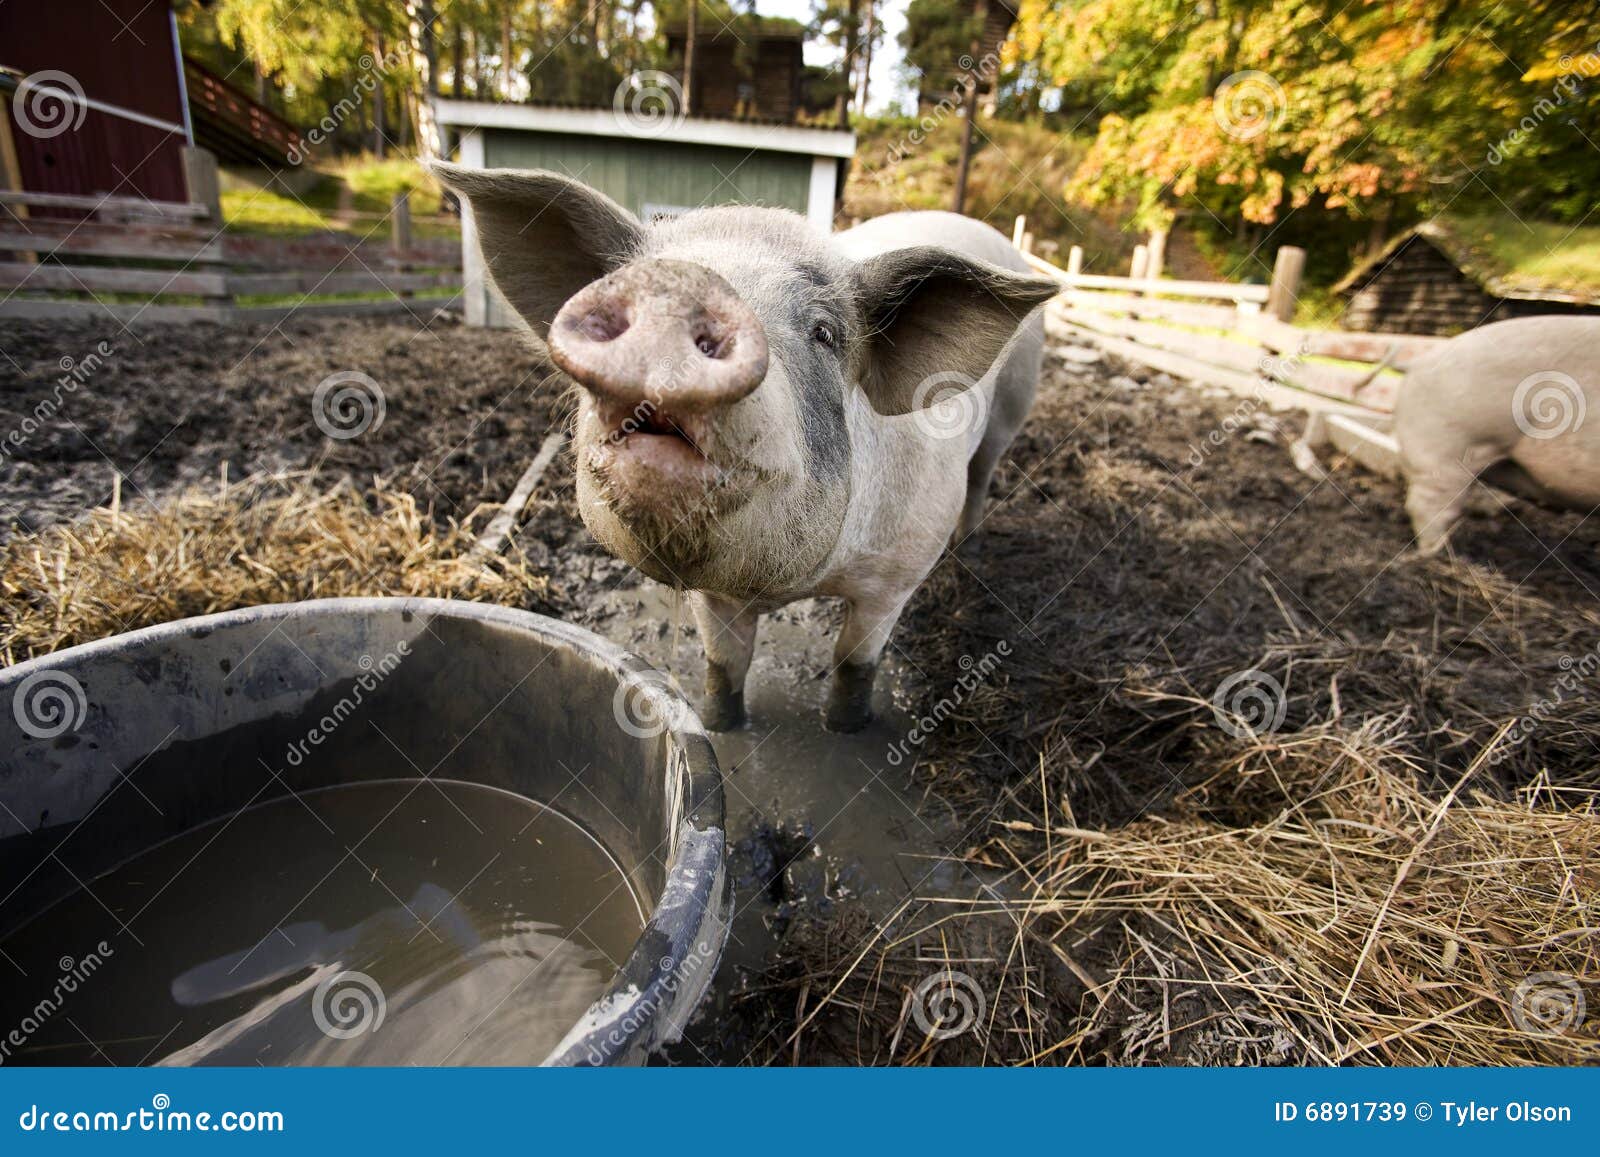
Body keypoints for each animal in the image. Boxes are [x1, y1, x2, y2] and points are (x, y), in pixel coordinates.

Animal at [434, 164, 1058, 731]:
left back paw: (967, 548)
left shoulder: (897, 574)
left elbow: (854, 662)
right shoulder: (714, 594)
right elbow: (724, 664)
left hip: (1015, 402)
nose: (680, 284)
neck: (793, 583)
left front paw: (845, 729)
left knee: (985, 471)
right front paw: (721, 725)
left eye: (825, 334)